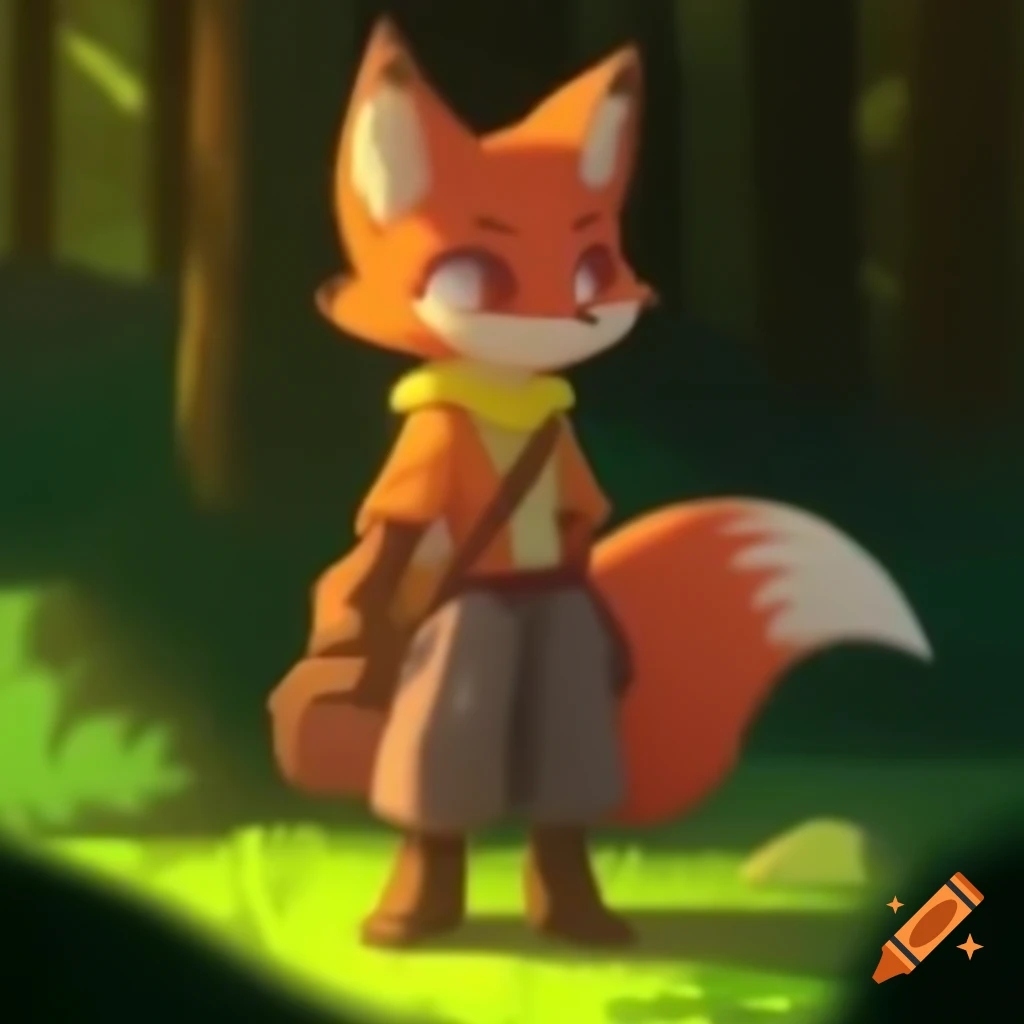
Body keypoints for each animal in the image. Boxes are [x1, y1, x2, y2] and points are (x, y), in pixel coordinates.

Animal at [284, 19, 932, 950]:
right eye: (472, 279)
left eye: (593, 266)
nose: (575, 315)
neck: (507, 394)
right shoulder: (426, 457)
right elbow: (391, 545)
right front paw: (351, 637)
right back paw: (413, 917)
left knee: (566, 791)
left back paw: (580, 916)